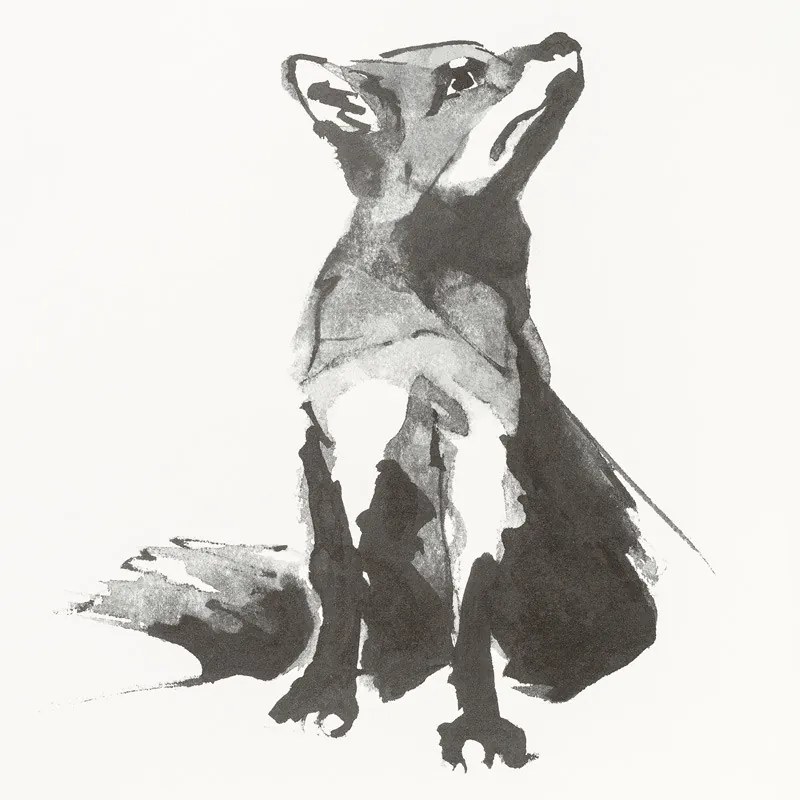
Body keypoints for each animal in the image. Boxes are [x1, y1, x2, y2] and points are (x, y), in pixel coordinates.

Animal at [267, 32, 663, 769]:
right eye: (463, 78)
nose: (563, 39)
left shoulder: (482, 448)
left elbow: (472, 610)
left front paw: (480, 723)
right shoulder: (341, 441)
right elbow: (342, 583)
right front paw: (326, 694)